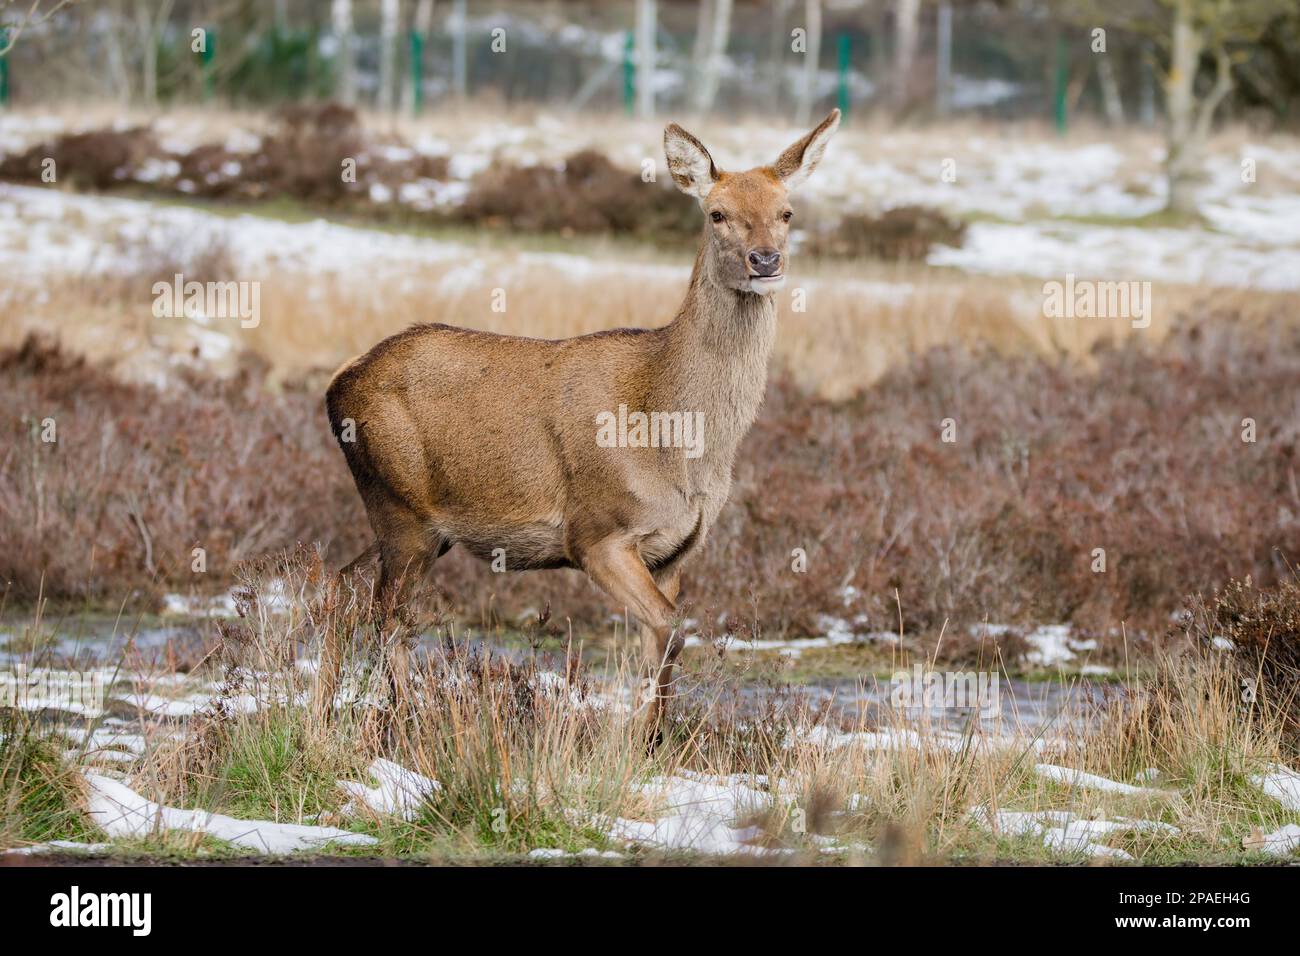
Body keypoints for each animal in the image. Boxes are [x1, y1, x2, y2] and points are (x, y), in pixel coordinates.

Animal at [321, 109, 841, 738]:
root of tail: (336, 386)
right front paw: (636, 737)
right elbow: (669, 628)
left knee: (337, 588)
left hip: (413, 523)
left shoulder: (677, 549)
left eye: (787, 212)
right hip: (402, 507)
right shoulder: (596, 532)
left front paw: (653, 738)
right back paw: (406, 718)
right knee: (388, 615)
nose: (765, 260)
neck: (676, 436)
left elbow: (660, 638)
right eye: (716, 213)